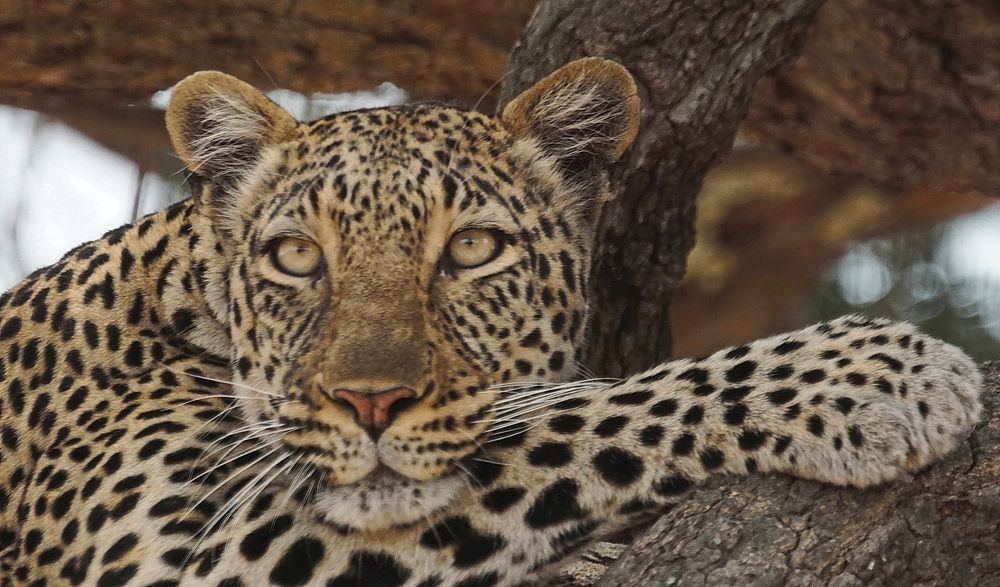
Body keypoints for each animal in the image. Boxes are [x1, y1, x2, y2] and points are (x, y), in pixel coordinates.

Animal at [0, 58, 983, 587]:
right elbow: (585, 415)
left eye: (472, 249)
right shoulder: (180, 560)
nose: (371, 403)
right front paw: (863, 372)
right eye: (297, 257)